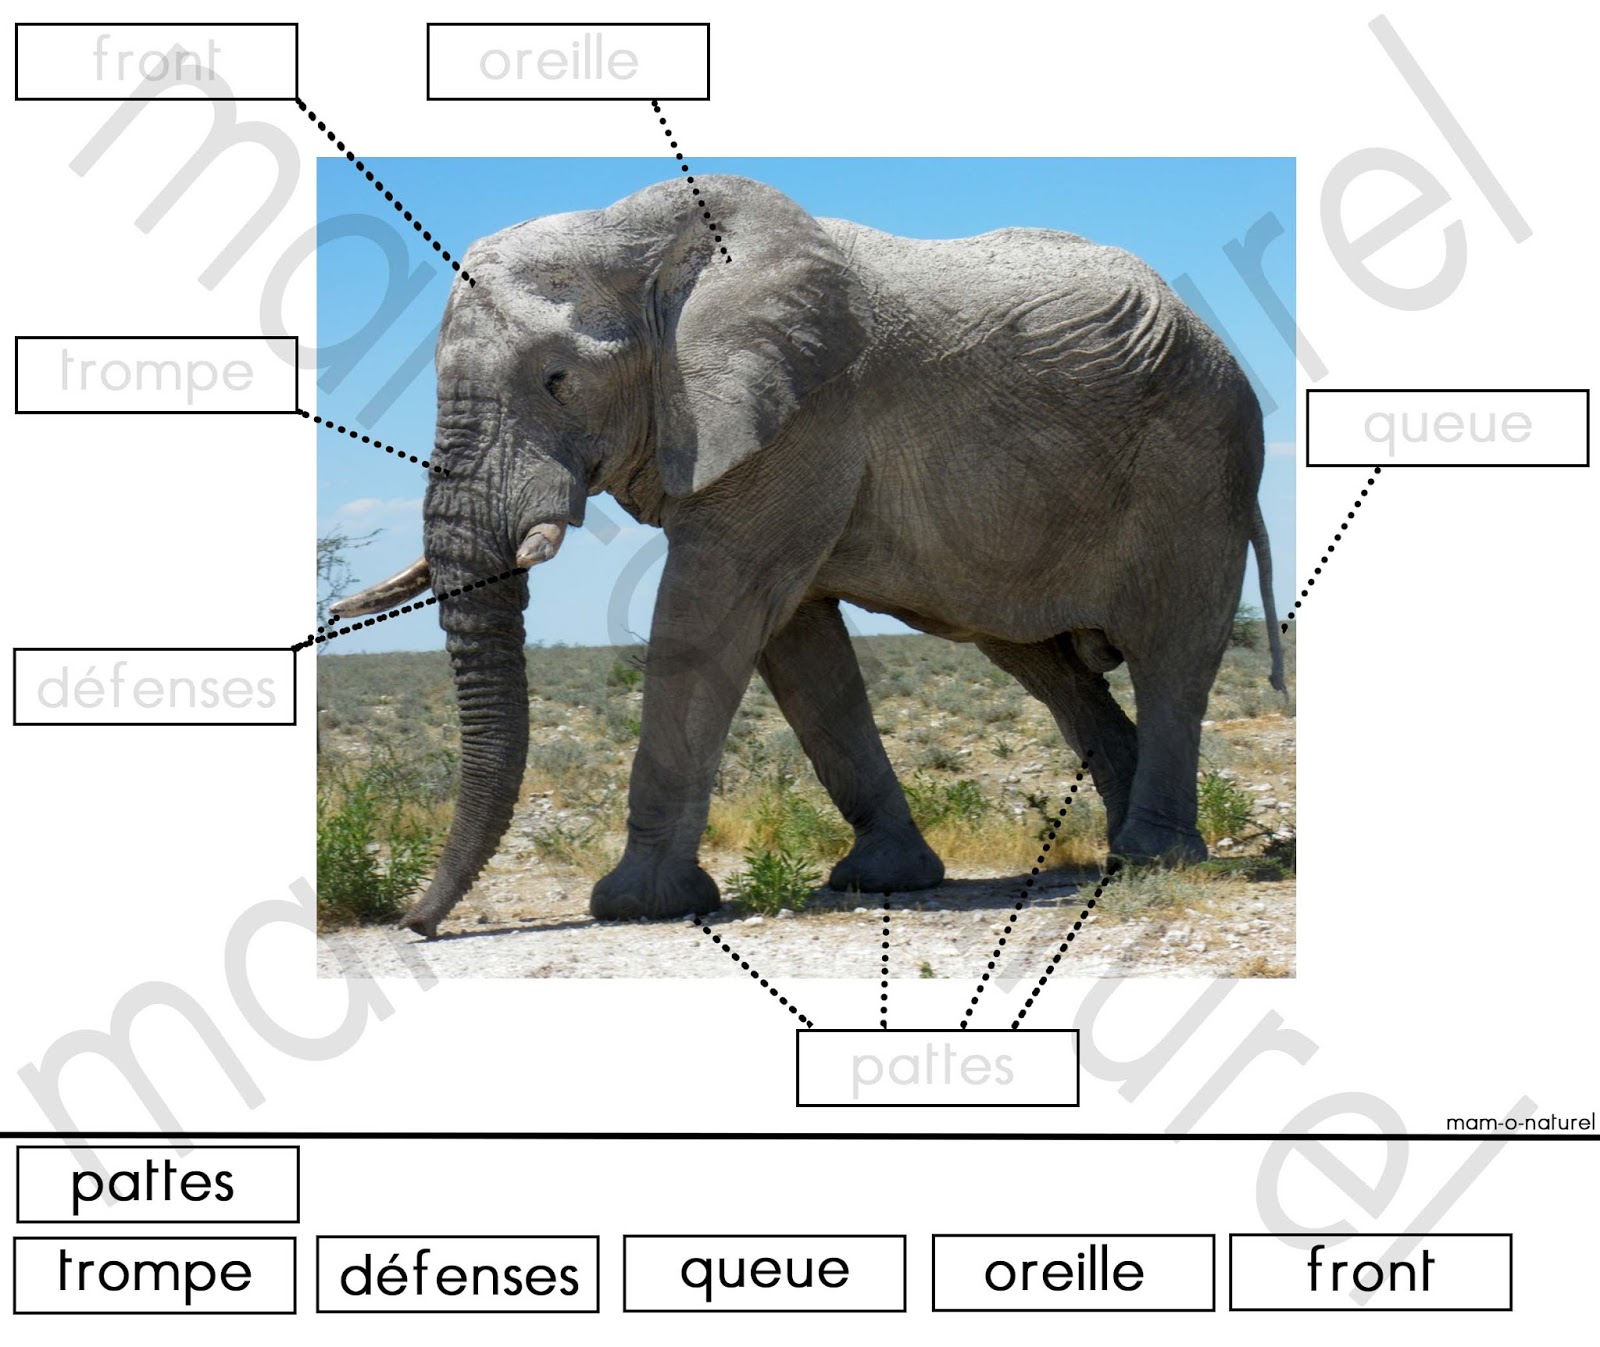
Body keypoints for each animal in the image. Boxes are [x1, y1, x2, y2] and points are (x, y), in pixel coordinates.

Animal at [331, 175, 1285, 938]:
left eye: (558, 380)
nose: (415, 924)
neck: (648, 240)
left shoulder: (803, 417)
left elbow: (710, 616)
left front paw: (635, 903)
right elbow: (798, 646)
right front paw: (884, 880)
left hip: (1196, 472)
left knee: (1170, 658)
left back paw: (1156, 858)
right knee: (1051, 671)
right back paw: (1118, 851)